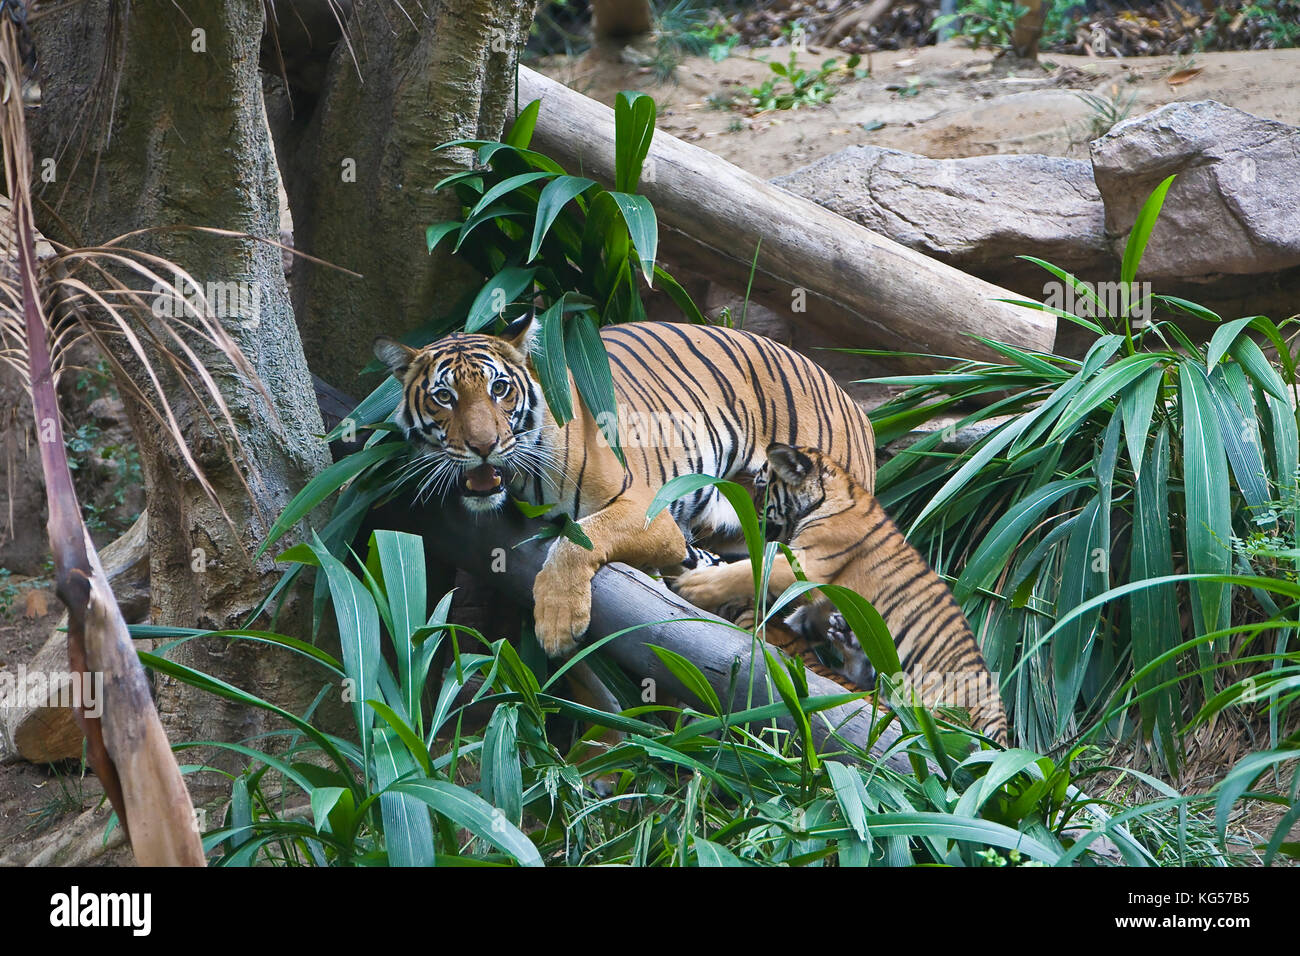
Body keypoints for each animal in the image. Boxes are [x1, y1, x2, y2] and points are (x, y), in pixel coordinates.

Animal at [372, 318, 876, 659]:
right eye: (444, 397)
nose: (484, 446)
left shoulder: (648, 511)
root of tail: (854, 402)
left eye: (500, 389)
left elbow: (578, 540)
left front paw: (558, 623)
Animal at [673, 443, 1008, 743]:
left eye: (761, 486)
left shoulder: (806, 568)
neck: (830, 495)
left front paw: (693, 587)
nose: (745, 519)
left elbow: (745, 571)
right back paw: (846, 636)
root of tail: (999, 718)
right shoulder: (814, 600)